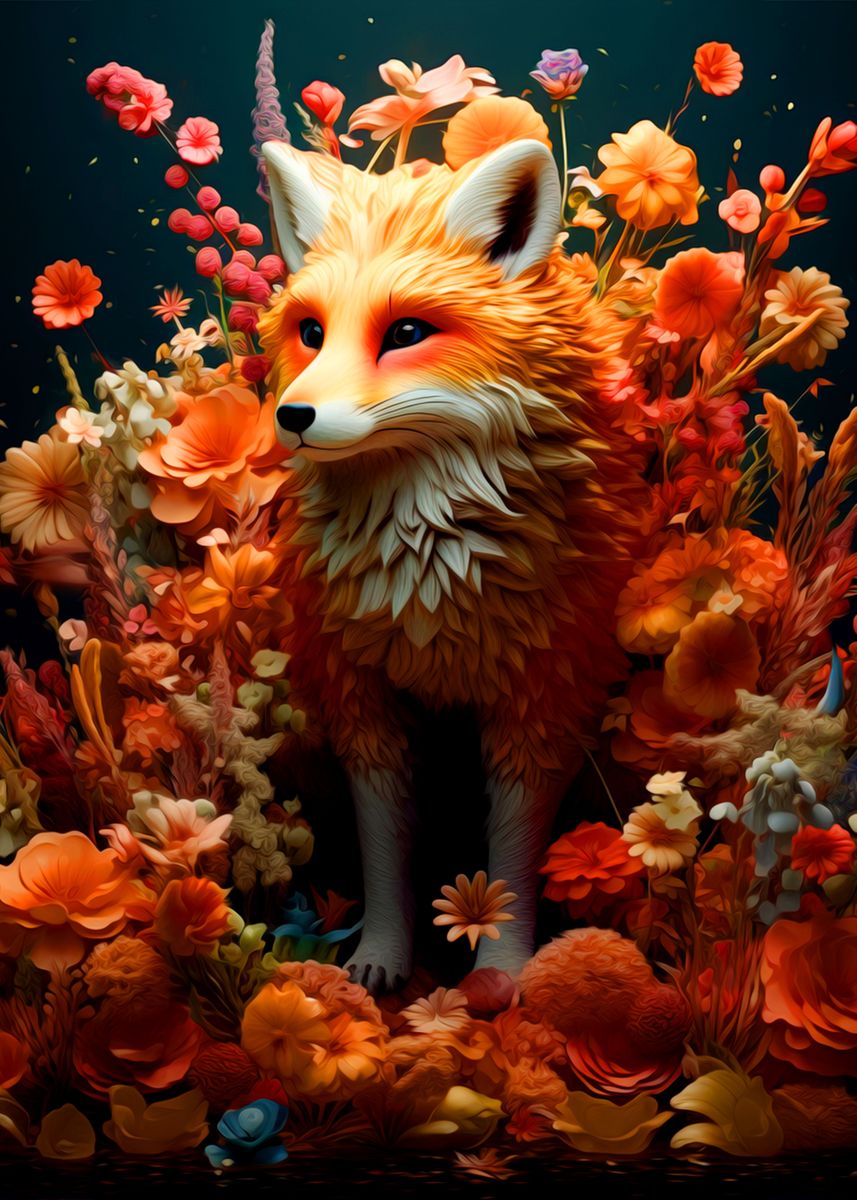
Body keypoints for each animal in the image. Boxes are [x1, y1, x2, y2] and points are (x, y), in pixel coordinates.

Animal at [258, 135, 651, 993]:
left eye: (405, 332)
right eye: (310, 332)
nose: (292, 416)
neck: (427, 573)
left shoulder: (545, 697)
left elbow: (509, 857)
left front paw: (500, 972)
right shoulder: (359, 698)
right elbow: (383, 854)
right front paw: (379, 959)